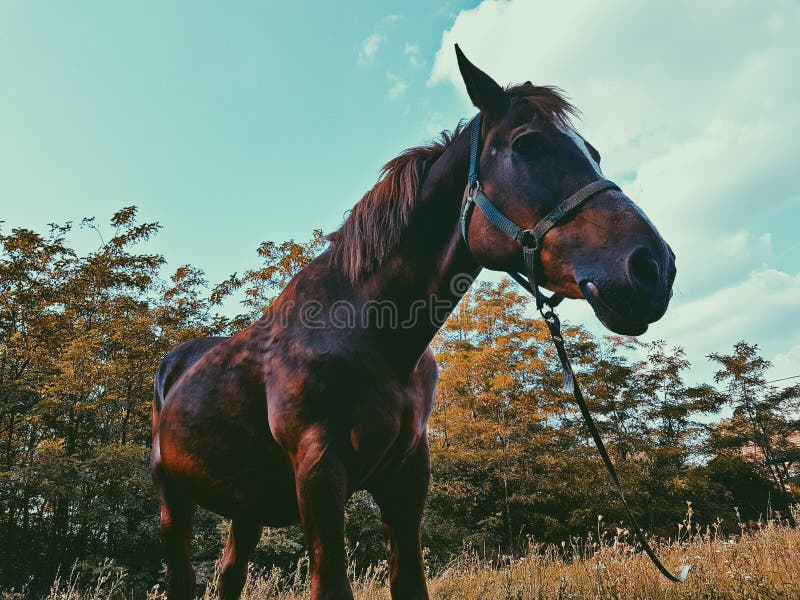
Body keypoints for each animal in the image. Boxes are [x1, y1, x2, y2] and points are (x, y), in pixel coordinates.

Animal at [150, 46, 676, 600]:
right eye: (527, 144)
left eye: (592, 152)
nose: (653, 267)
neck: (371, 333)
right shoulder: (318, 473)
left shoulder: (406, 478)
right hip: (173, 501)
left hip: (245, 508)